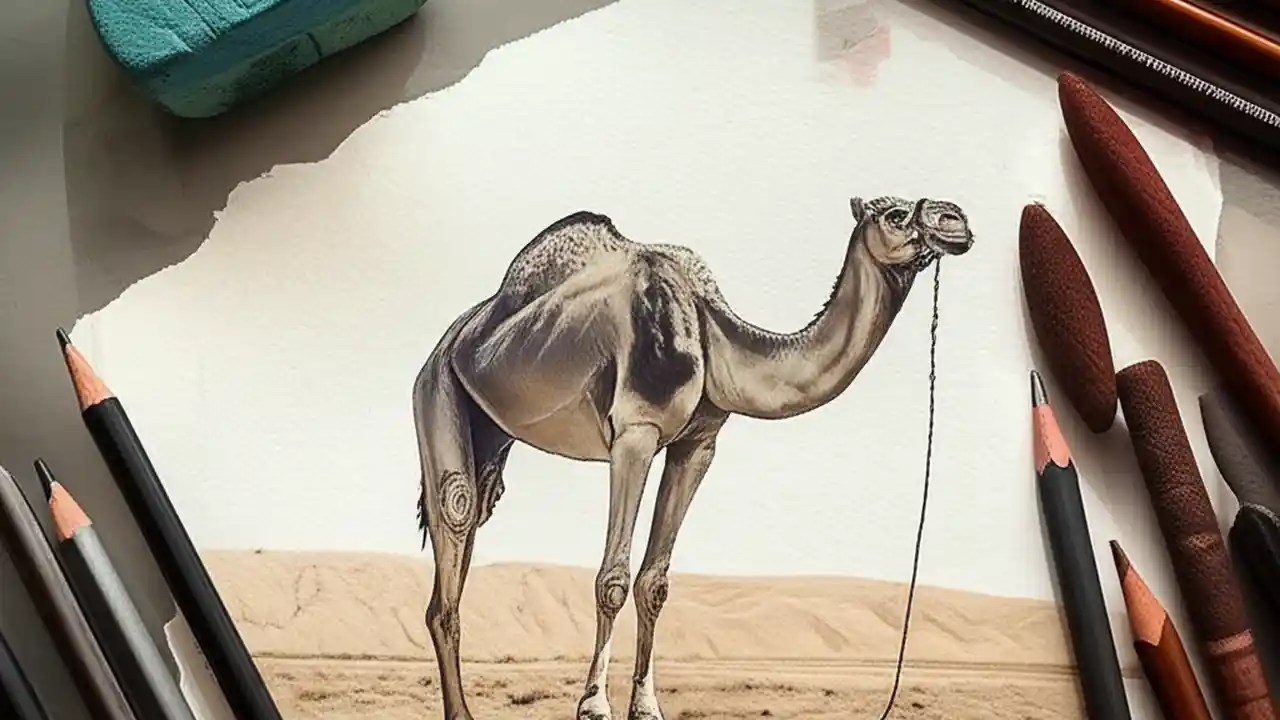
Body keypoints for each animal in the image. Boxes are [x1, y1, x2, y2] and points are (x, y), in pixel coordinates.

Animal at [411, 195, 974, 720]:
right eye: (897, 213)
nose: (956, 220)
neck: (711, 336)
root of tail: (452, 339)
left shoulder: (697, 444)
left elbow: (654, 583)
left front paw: (646, 706)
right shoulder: (636, 432)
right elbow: (612, 580)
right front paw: (594, 704)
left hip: (492, 433)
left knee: (473, 516)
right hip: (435, 388)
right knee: (455, 518)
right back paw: (461, 711)